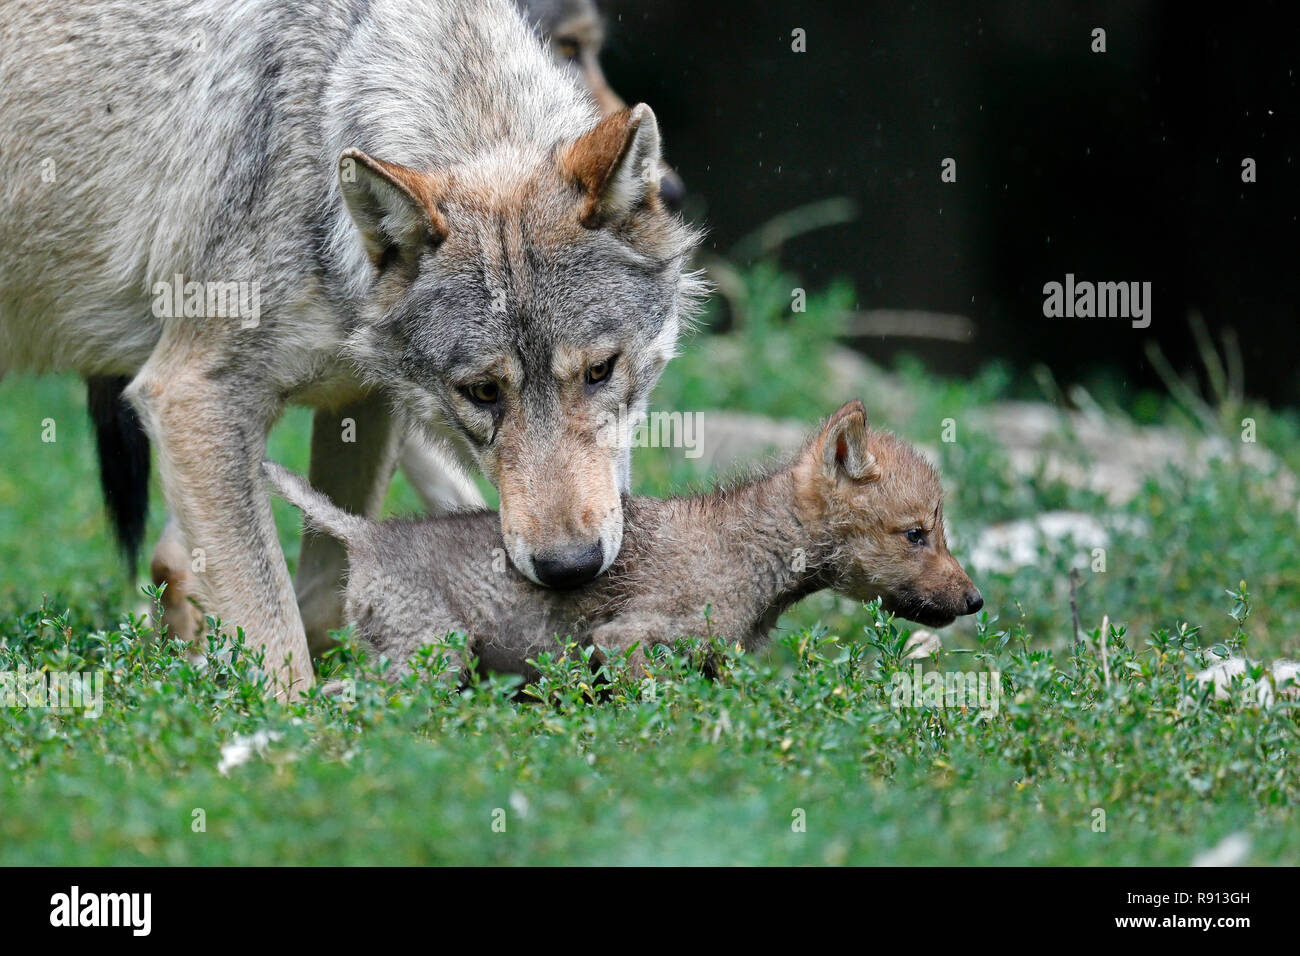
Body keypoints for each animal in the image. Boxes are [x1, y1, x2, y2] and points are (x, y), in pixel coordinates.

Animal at [0, 0, 703, 695]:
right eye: (481, 391)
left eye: (600, 371)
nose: (570, 569)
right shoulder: (190, 397)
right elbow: (274, 639)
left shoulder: (363, 402)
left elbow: (320, 590)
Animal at [264, 401, 983, 684]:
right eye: (917, 534)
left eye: (939, 531)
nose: (977, 601)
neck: (755, 553)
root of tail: (367, 534)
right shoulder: (622, 640)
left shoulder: (714, 660)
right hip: (430, 661)